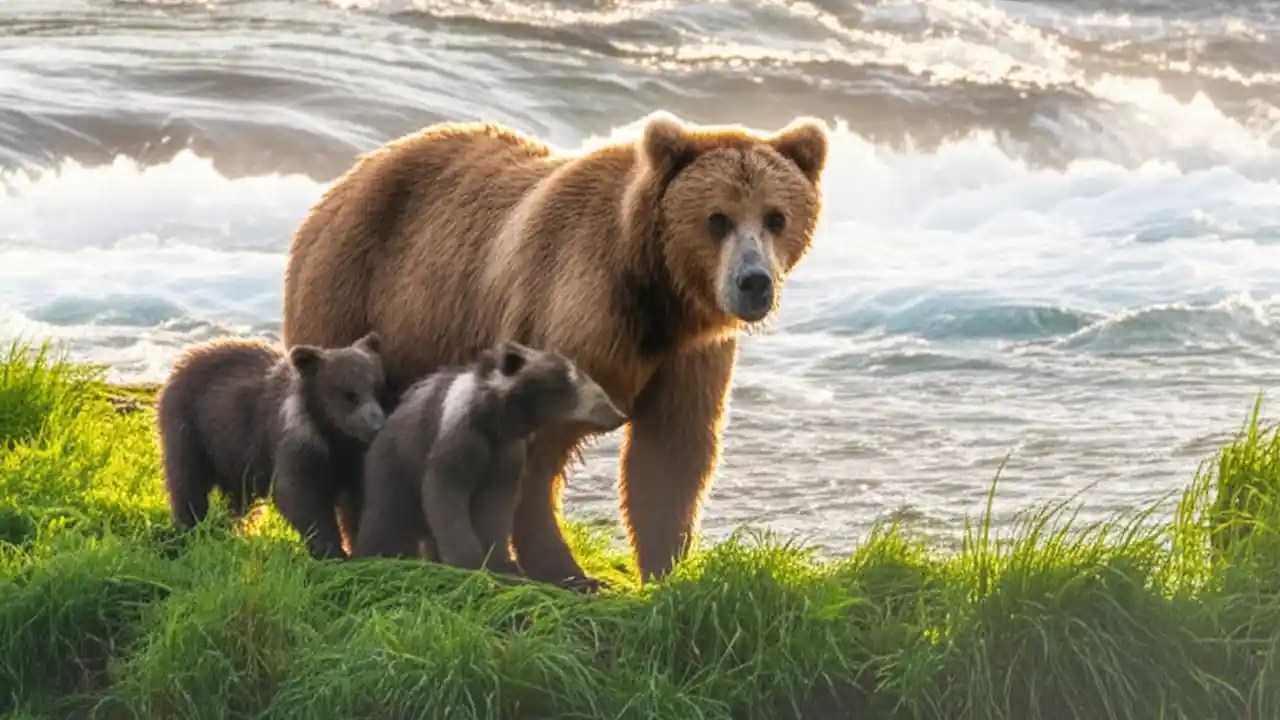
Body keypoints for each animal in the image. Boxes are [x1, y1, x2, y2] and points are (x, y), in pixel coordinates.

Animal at [155, 332, 387, 559]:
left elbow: (362, 496)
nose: (376, 426)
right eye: (350, 395)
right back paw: (188, 531)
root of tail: (185, 358)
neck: (334, 438)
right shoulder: (296, 448)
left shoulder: (352, 459)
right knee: (187, 482)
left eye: (378, 388)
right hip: (191, 428)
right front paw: (332, 551)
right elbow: (301, 498)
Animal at [353, 340, 627, 580]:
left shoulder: (506, 455)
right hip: (394, 464)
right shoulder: (460, 439)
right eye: (565, 381)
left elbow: (495, 506)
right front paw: (468, 560)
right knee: (385, 513)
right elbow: (446, 494)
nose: (618, 414)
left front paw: (499, 561)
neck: (496, 423)